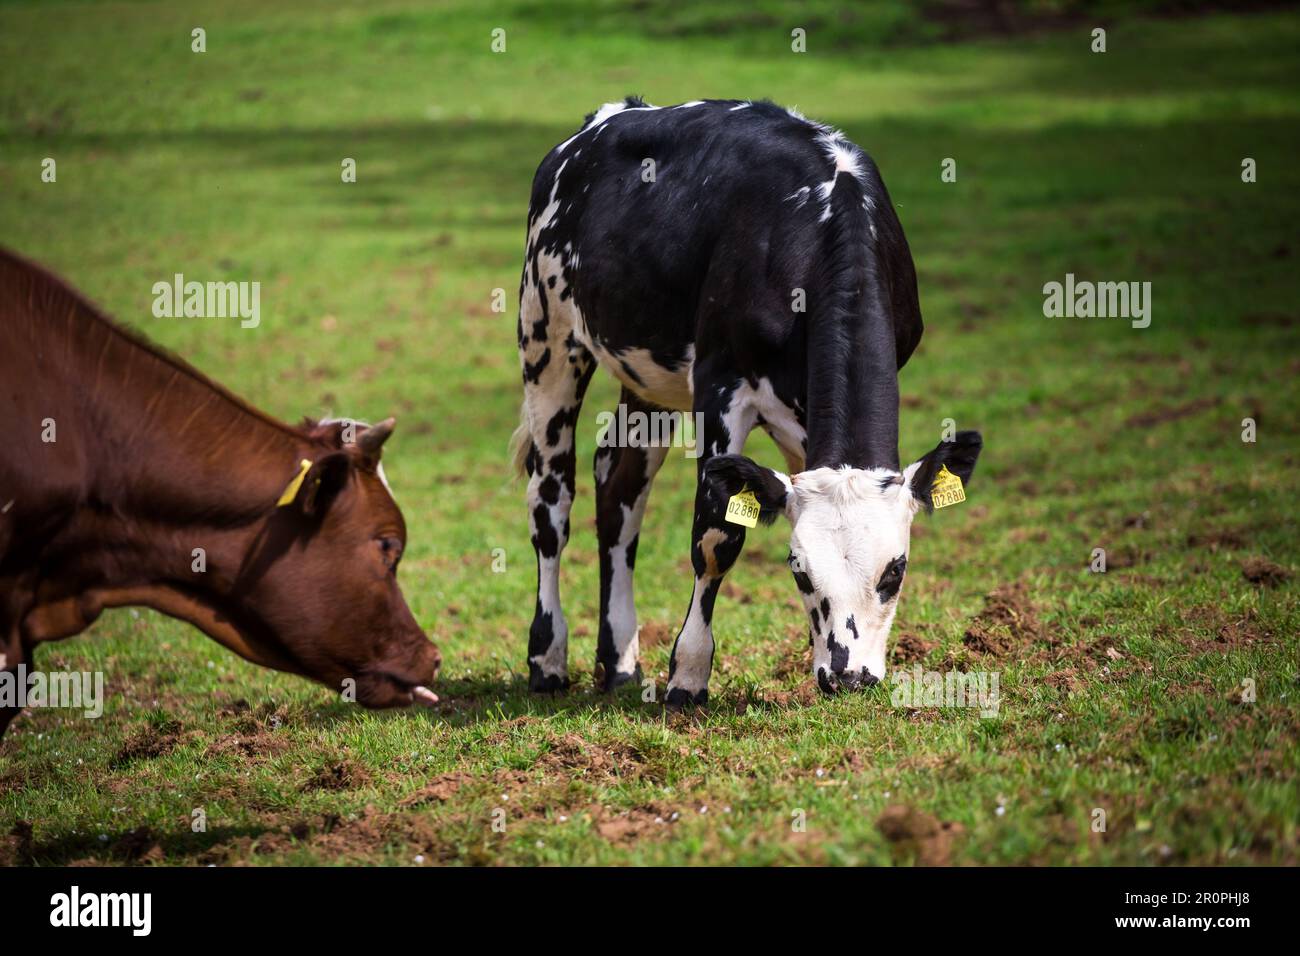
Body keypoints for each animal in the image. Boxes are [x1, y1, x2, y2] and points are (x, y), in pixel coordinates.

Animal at [512, 97, 982, 707]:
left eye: (894, 573)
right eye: (800, 571)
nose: (849, 677)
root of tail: (610, 115)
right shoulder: (720, 386)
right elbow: (717, 534)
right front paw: (688, 676)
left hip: (645, 381)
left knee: (619, 487)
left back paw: (619, 662)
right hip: (547, 339)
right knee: (551, 503)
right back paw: (547, 658)